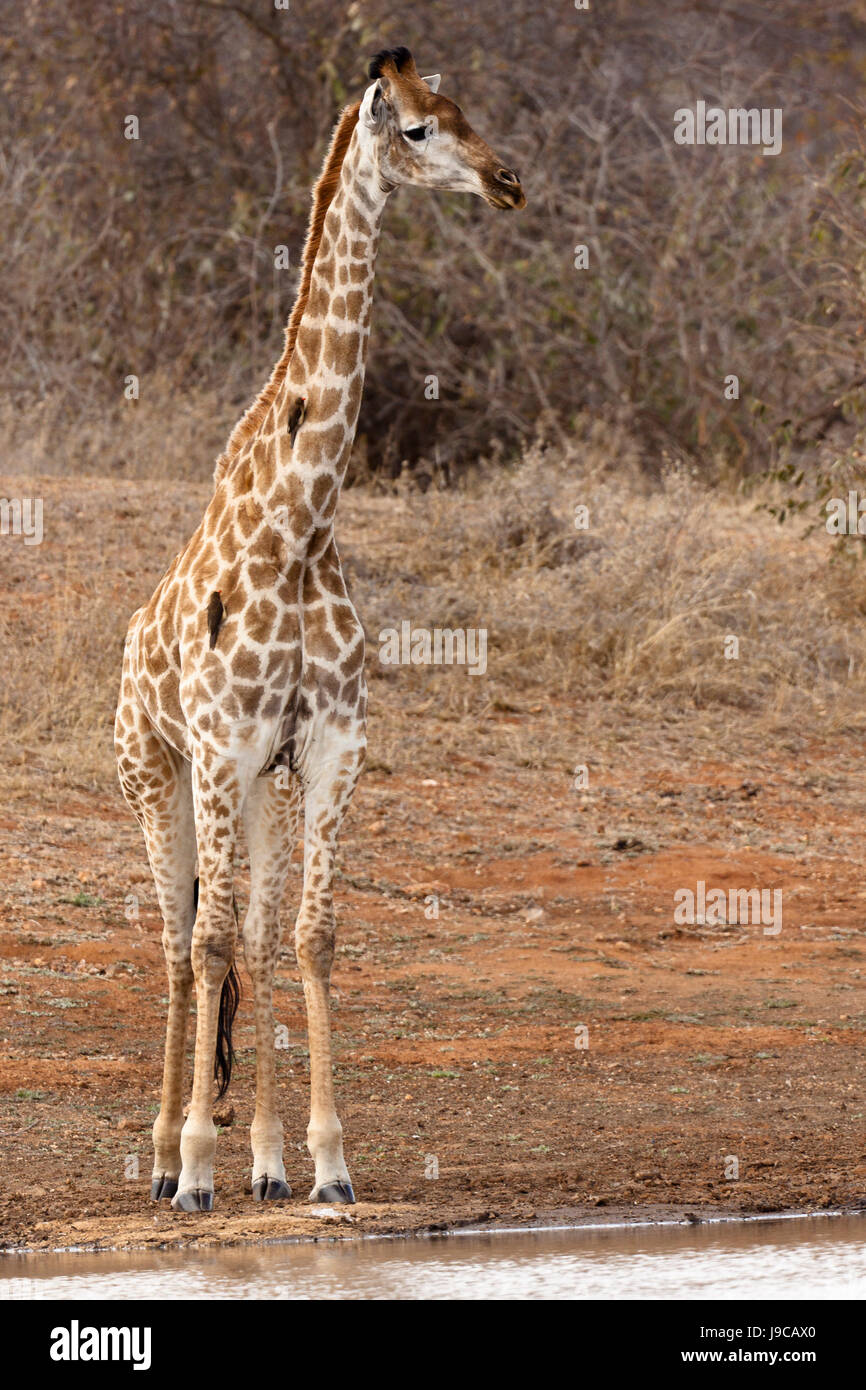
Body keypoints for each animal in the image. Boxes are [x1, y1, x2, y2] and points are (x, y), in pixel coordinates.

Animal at [114, 46, 525, 1213]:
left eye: (464, 111)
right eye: (418, 129)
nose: (508, 181)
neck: (302, 524)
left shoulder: (329, 744)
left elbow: (310, 935)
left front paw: (327, 1162)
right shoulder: (218, 745)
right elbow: (210, 943)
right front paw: (195, 1166)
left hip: (256, 783)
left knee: (249, 933)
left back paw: (258, 1160)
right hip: (155, 771)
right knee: (180, 944)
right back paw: (164, 1160)